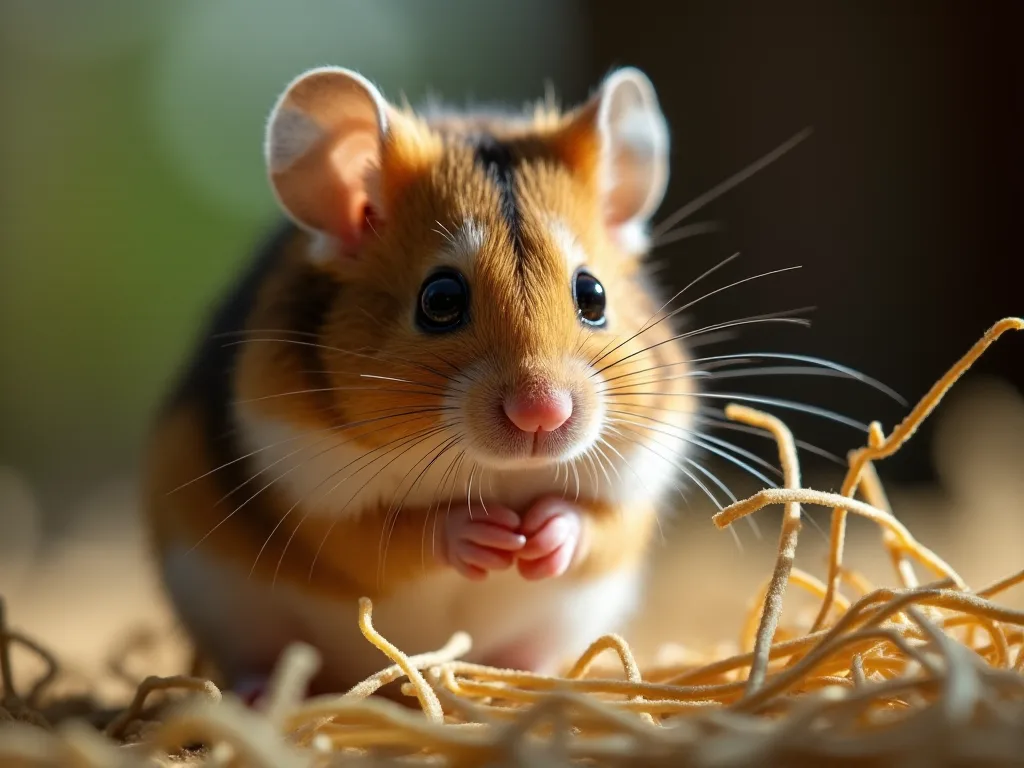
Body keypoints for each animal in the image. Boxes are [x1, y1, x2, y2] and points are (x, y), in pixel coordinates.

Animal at [142, 65, 695, 698]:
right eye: (441, 299)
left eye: (593, 295)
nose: (543, 413)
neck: (499, 473)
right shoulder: (309, 494)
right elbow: (391, 534)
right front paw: (488, 536)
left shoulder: (639, 481)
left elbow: (596, 524)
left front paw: (539, 537)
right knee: (261, 657)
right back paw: (260, 696)